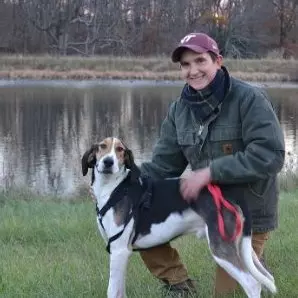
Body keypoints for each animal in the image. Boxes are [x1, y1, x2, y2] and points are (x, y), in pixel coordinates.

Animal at [81, 137, 278, 298]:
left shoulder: (119, 250)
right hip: (242, 246)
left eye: (120, 149)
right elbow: (120, 291)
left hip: (221, 248)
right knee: (267, 277)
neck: (115, 188)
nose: (108, 162)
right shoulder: (121, 253)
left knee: (253, 284)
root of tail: (230, 194)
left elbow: (112, 291)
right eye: (102, 147)